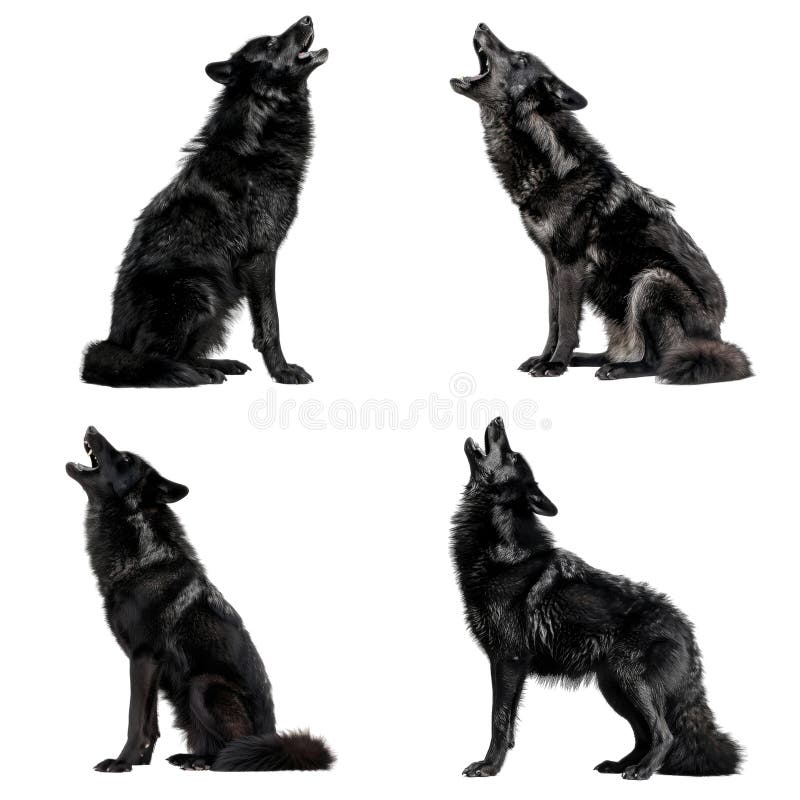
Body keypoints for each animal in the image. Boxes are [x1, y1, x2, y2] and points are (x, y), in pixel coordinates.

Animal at [66, 427, 334, 772]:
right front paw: (141, 763)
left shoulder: (144, 657)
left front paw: (122, 763)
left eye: (124, 460)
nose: (91, 428)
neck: (143, 558)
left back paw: (205, 762)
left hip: (202, 686)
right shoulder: (148, 664)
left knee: (234, 754)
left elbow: (135, 720)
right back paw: (192, 757)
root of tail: (272, 738)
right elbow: (150, 722)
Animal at [82, 17, 328, 387]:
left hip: (218, 304)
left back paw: (219, 365)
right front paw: (282, 371)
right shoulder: (261, 256)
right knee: (152, 358)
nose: (307, 18)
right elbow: (271, 322)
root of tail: (114, 339)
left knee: (176, 353)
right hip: (201, 292)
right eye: (271, 44)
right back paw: (200, 373)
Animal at [451, 25, 751, 384]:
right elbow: (553, 319)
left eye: (520, 58)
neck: (552, 164)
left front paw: (555, 364)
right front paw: (545, 358)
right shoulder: (552, 263)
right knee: (620, 350)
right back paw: (589, 359)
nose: (482, 25)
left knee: (655, 362)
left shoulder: (571, 263)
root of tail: (717, 339)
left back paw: (619, 368)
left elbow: (567, 322)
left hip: (651, 281)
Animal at [451, 418, 741, 779]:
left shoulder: (509, 660)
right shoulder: (504, 662)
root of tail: (687, 630)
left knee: (664, 734)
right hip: (614, 689)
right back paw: (620, 765)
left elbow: (499, 719)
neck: (501, 550)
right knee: (644, 735)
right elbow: (506, 720)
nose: (499, 420)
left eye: (513, 456)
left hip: (630, 683)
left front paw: (489, 767)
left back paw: (642, 772)